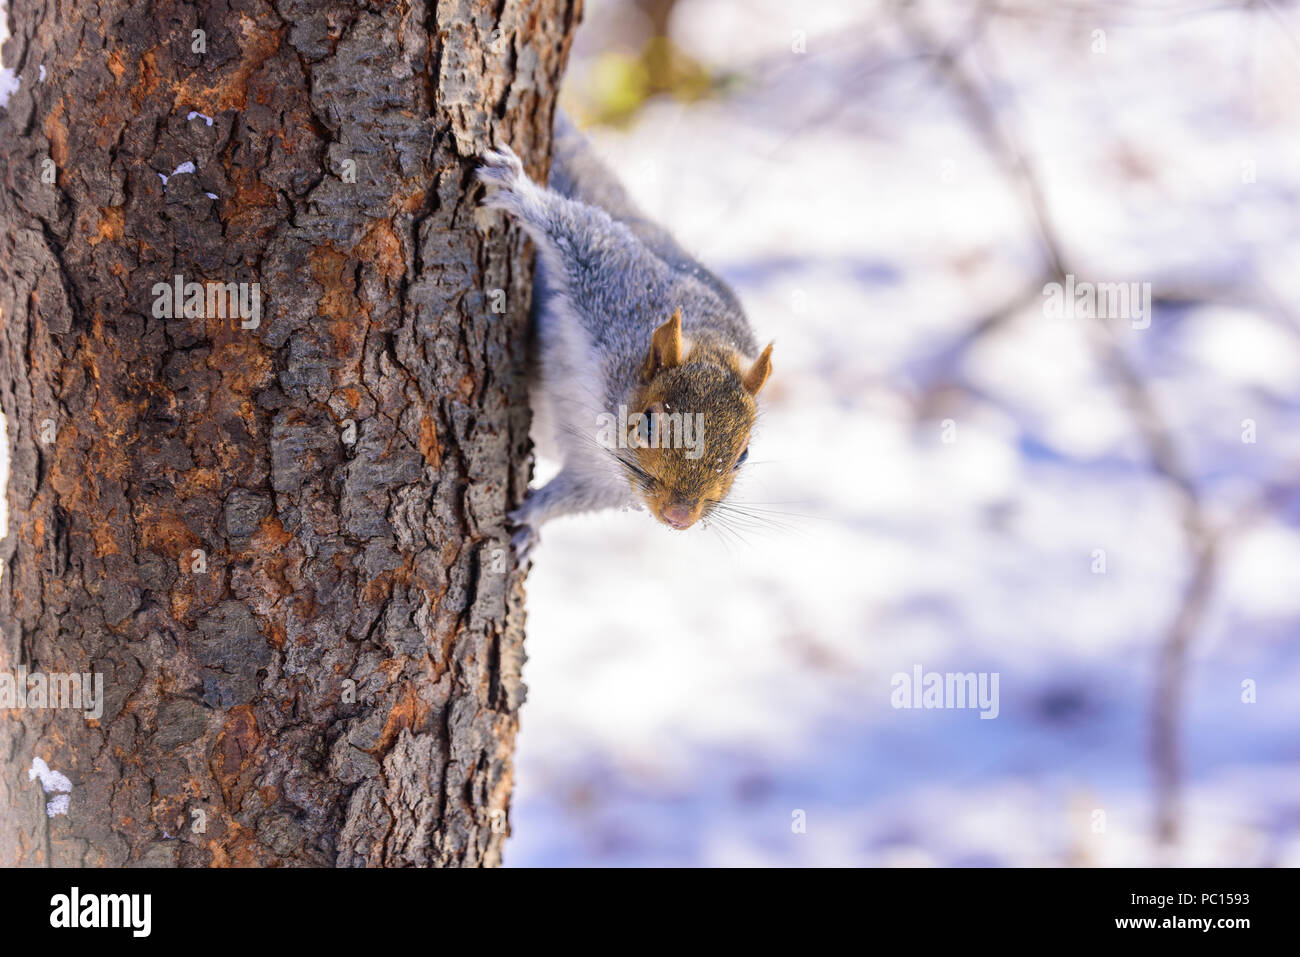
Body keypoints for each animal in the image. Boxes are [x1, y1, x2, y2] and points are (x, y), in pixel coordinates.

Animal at [477, 113, 773, 560]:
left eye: (743, 456)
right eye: (648, 424)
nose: (679, 517)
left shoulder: (606, 478)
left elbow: (576, 494)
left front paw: (531, 521)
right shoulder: (615, 286)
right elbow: (580, 229)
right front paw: (518, 188)